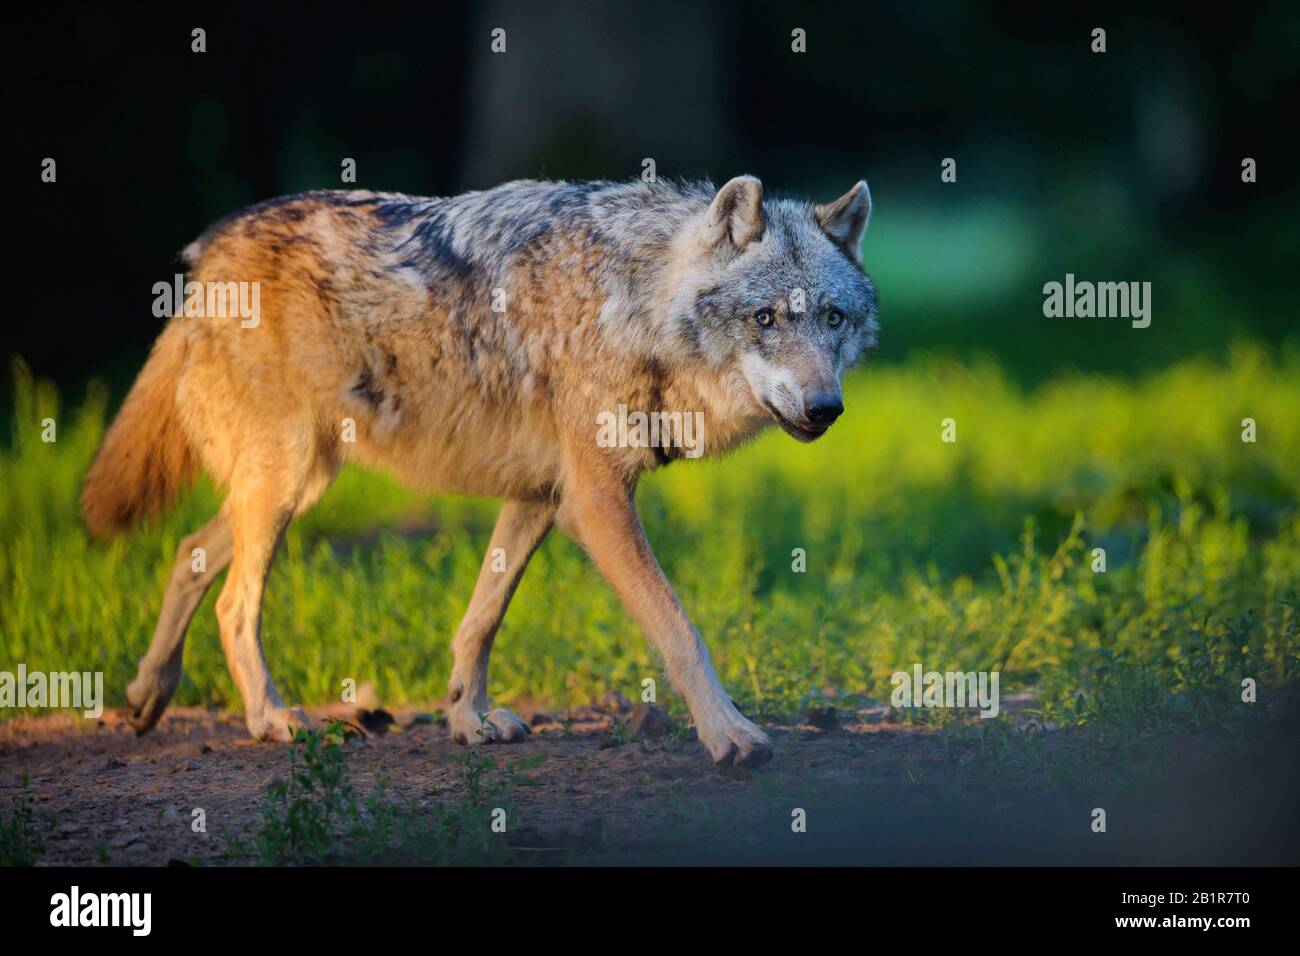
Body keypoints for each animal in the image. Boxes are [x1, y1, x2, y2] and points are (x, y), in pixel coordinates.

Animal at [81, 175, 878, 768]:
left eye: (832, 318)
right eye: (766, 319)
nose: (826, 408)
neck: (636, 300)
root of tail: (209, 253)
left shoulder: (543, 496)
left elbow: (481, 618)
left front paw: (468, 717)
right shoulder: (596, 501)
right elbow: (681, 631)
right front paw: (730, 736)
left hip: (295, 485)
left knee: (188, 551)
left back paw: (147, 694)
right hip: (286, 482)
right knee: (232, 603)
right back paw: (272, 718)